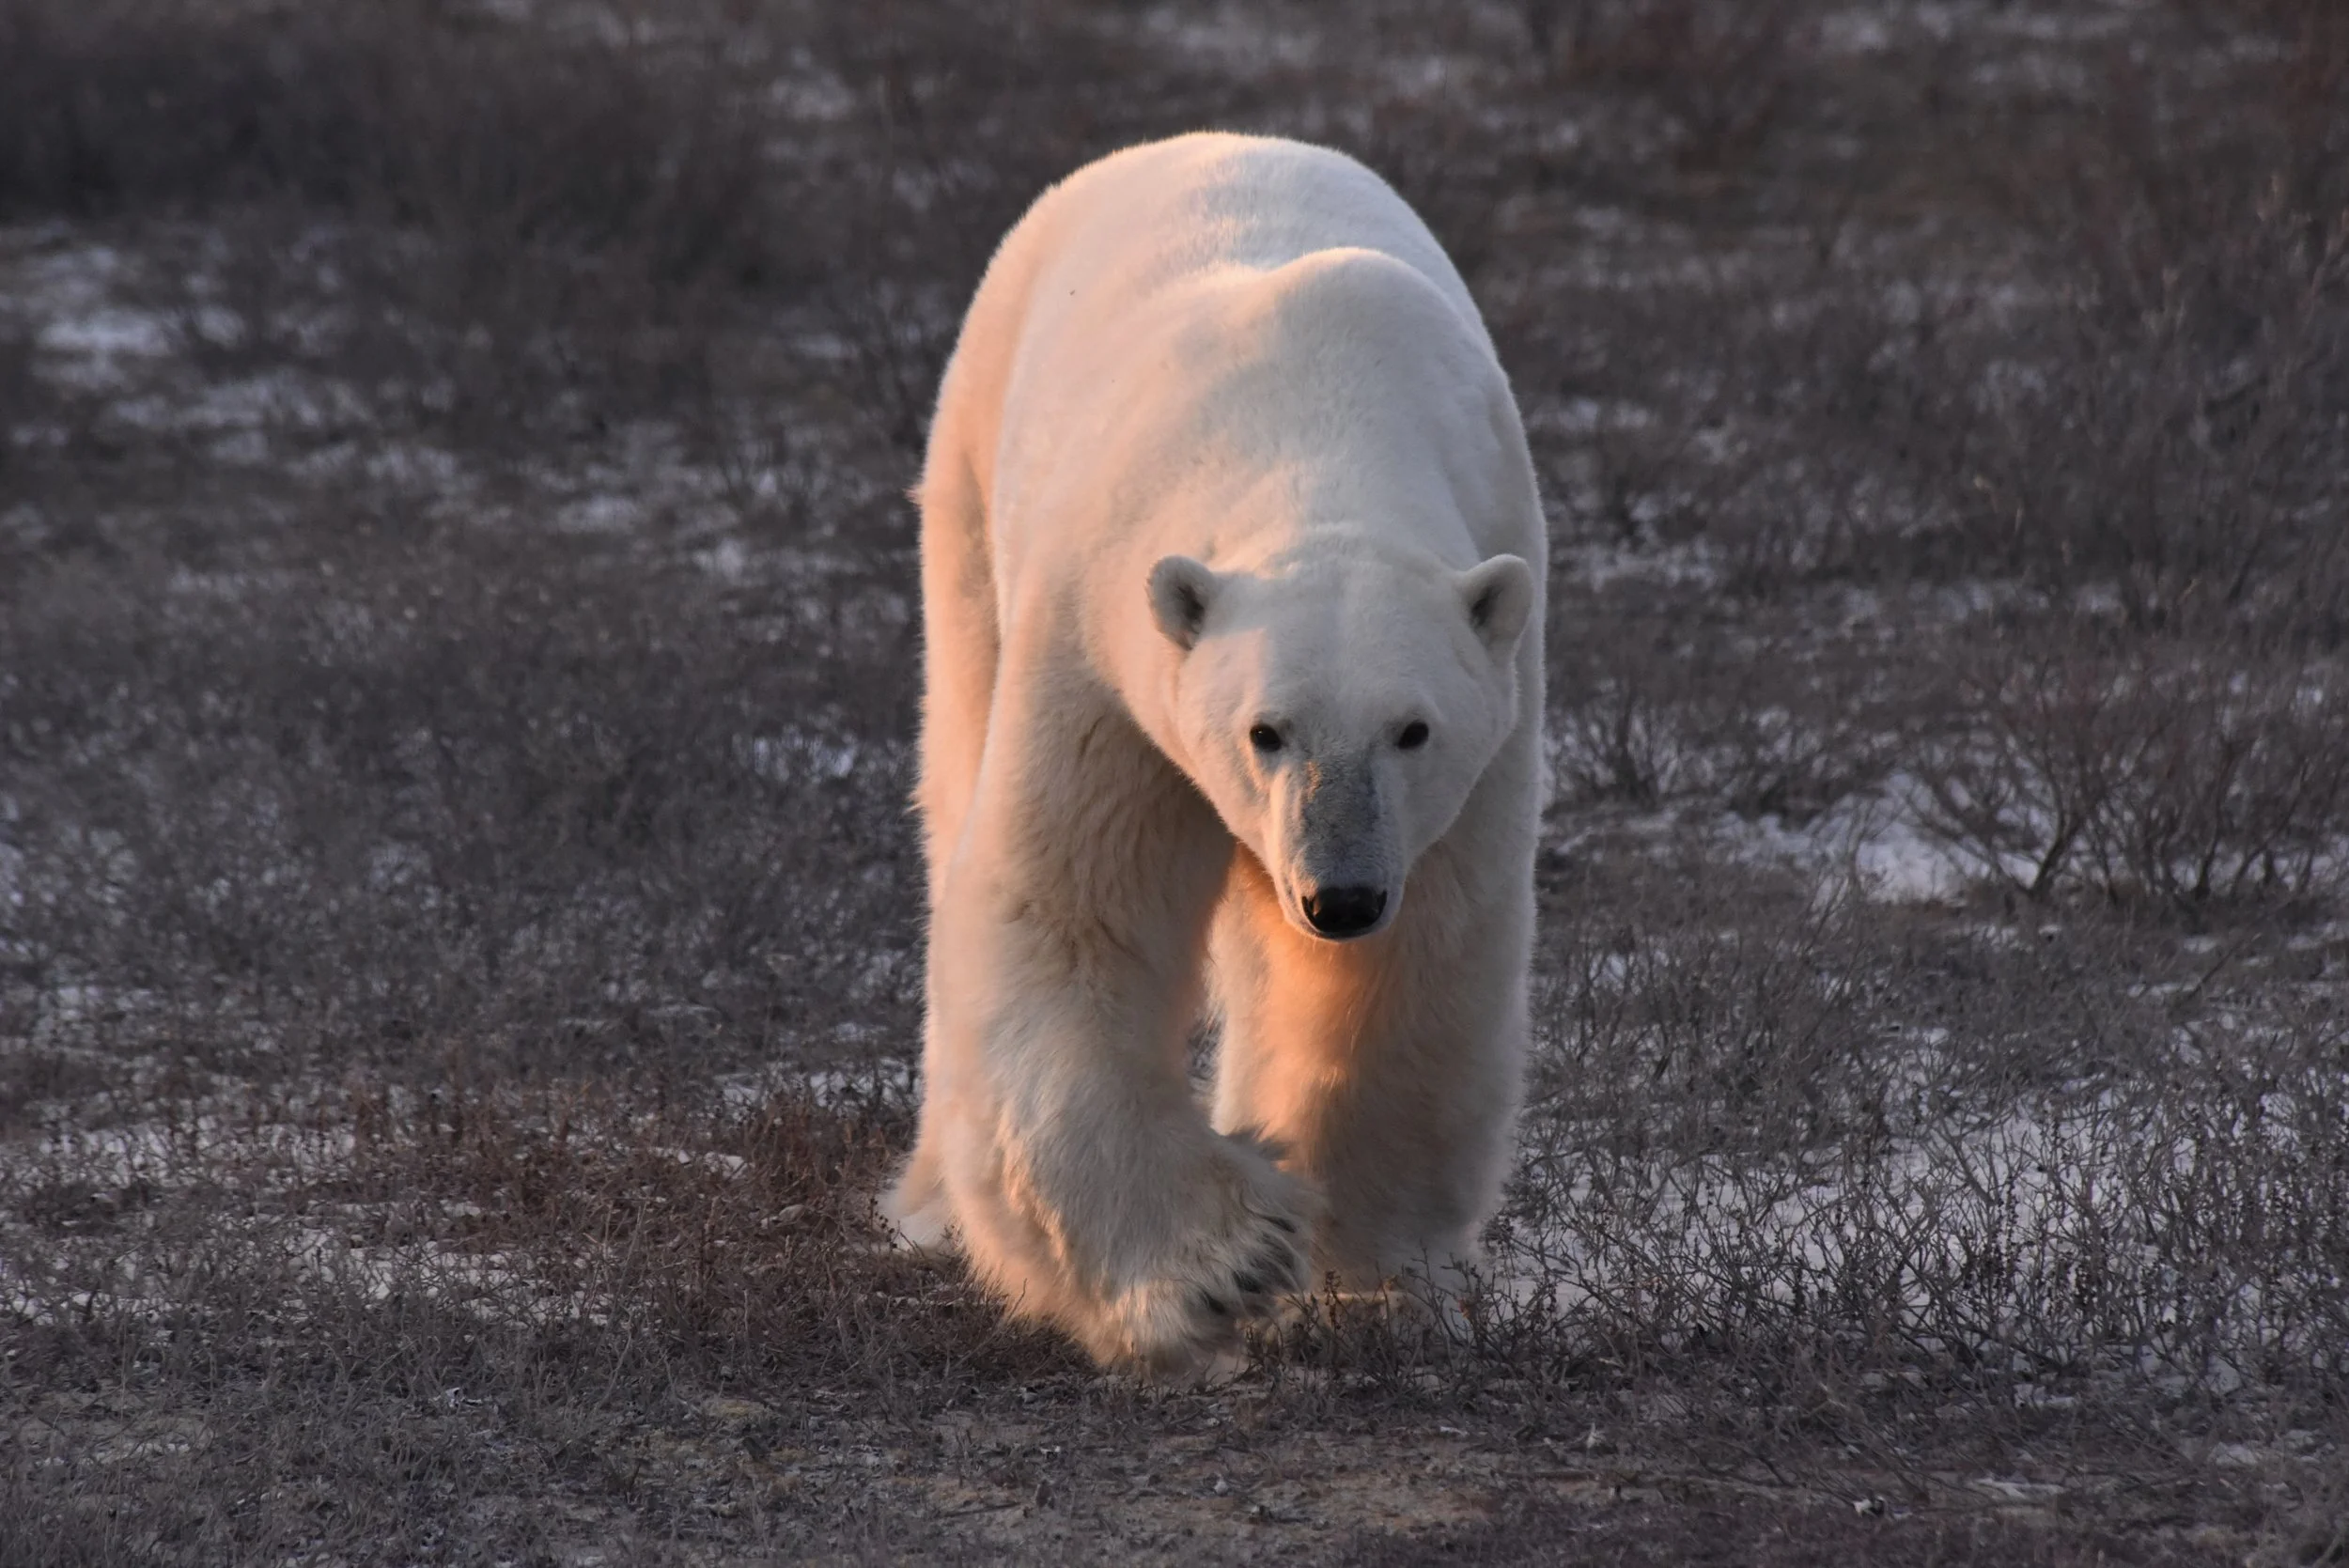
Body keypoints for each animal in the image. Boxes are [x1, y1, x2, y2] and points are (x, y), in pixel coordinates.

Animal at [884, 131, 1544, 1377]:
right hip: (971, 489)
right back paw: (934, 1195)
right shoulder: (1106, 651)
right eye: (1263, 729)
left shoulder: (1489, 723)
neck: (1316, 420)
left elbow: (1410, 969)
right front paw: (1224, 1262)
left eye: (1413, 729)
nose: (1338, 895)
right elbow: (1072, 914)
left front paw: (1369, 1266)